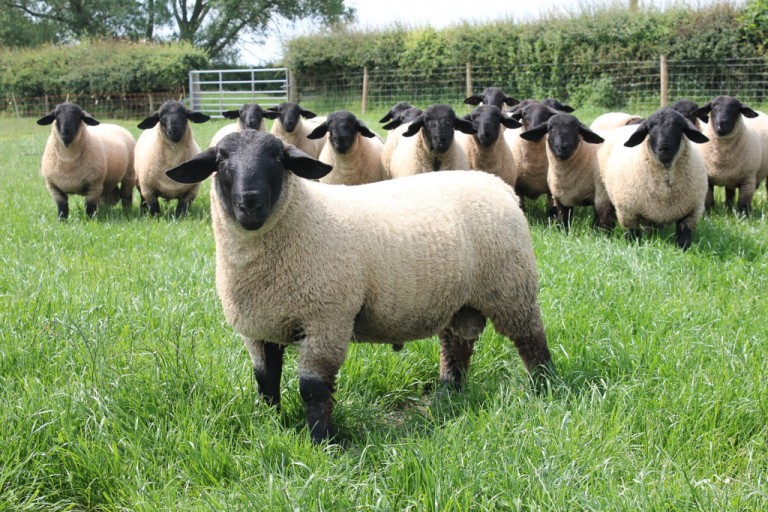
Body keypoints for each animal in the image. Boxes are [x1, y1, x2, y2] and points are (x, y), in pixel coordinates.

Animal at [164, 129, 554, 443]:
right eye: (221, 160)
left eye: (277, 158)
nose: (250, 202)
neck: (302, 217)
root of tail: (496, 184)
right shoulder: (258, 329)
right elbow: (266, 382)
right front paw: (270, 425)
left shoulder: (326, 320)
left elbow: (313, 390)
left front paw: (321, 442)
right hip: (459, 298)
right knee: (456, 347)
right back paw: (448, 394)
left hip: (511, 287)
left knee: (531, 340)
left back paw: (545, 387)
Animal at [594, 107, 709, 250]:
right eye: (650, 127)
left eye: (679, 125)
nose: (664, 148)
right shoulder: (628, 213)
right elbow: (633, 237)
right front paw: (634, 248)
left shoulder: (691, 213)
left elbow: (683, 240)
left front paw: (683, 250)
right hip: (603, 192)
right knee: (606, 218)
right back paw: (606, 236)